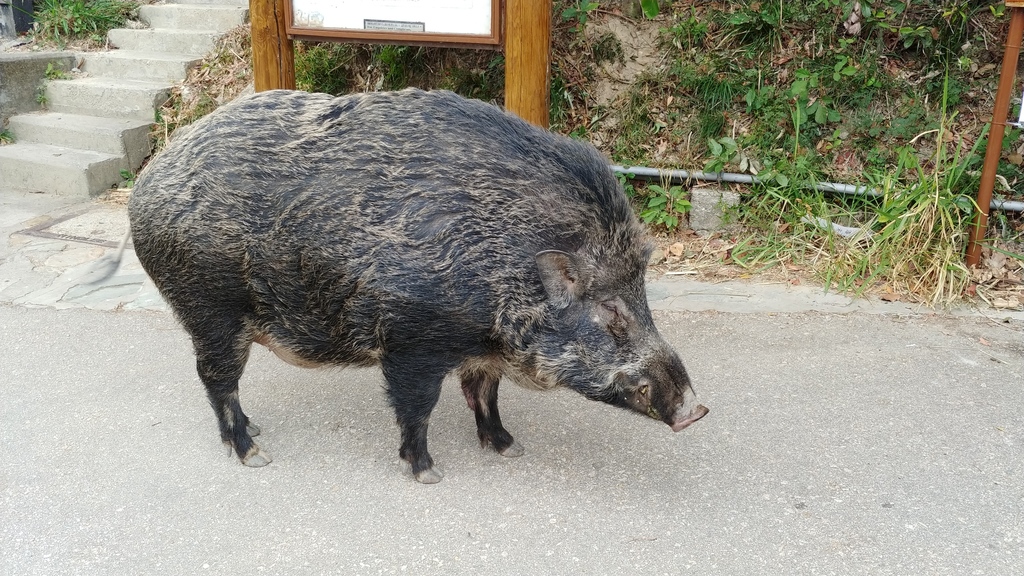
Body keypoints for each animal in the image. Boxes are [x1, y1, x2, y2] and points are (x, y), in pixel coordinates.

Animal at [123, 88, 708, 483]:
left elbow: (484, 392)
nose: (697, 410)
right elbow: (418, 407)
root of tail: (148, 180)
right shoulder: (412, 341)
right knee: (216, 380)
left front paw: (509, 448)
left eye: (643, 296)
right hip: (210, 310)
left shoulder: (480, 348)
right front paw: (428, 472)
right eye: (609, 309)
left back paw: (259, 435)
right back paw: (255, 455)